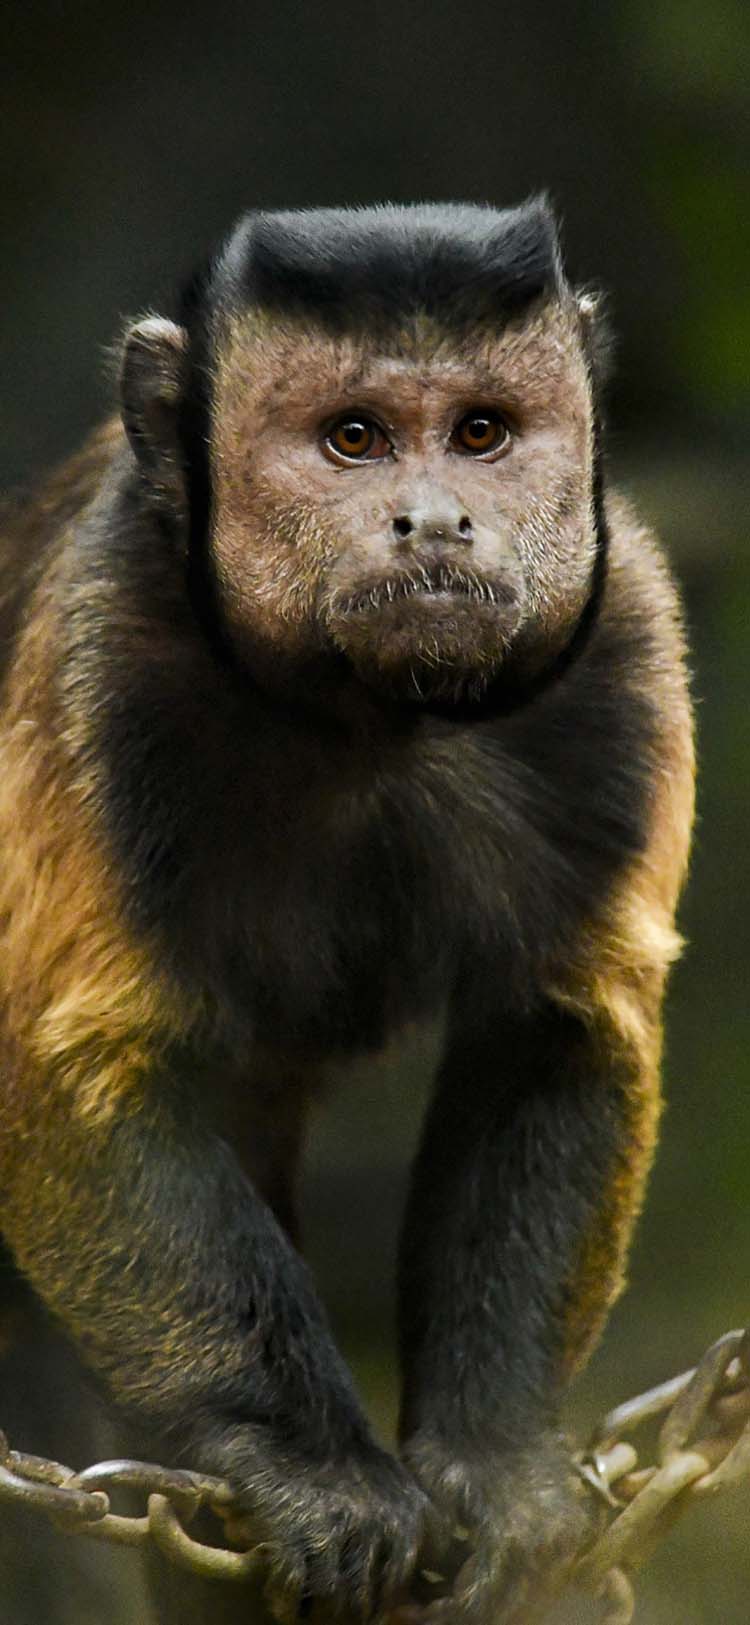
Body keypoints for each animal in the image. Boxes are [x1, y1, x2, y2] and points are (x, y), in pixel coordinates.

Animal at [0, 199, 694, 1624]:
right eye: (355, 438)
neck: (372, 714)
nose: (433, 521)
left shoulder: (627, 639)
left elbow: (561, 1029)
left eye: (480, 433)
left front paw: (496, 1464)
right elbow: (78, 1066)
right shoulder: (99, 653)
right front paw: (310, 1469)